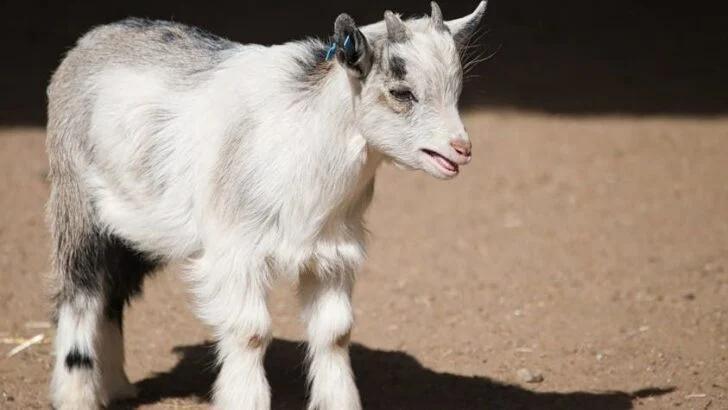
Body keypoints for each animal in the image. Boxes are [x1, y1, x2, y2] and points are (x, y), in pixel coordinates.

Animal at [45, 2, 487, 409]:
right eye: (401, 92)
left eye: (456, 89)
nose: (461, 150)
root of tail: (90, 42)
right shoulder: (236, 251)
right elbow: (250, 332)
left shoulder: (332, 254)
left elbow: (335, 333)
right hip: (78, 207)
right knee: (82, 292)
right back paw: (77, 395)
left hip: (134, 226)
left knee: (112, 293)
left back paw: (116, 387)